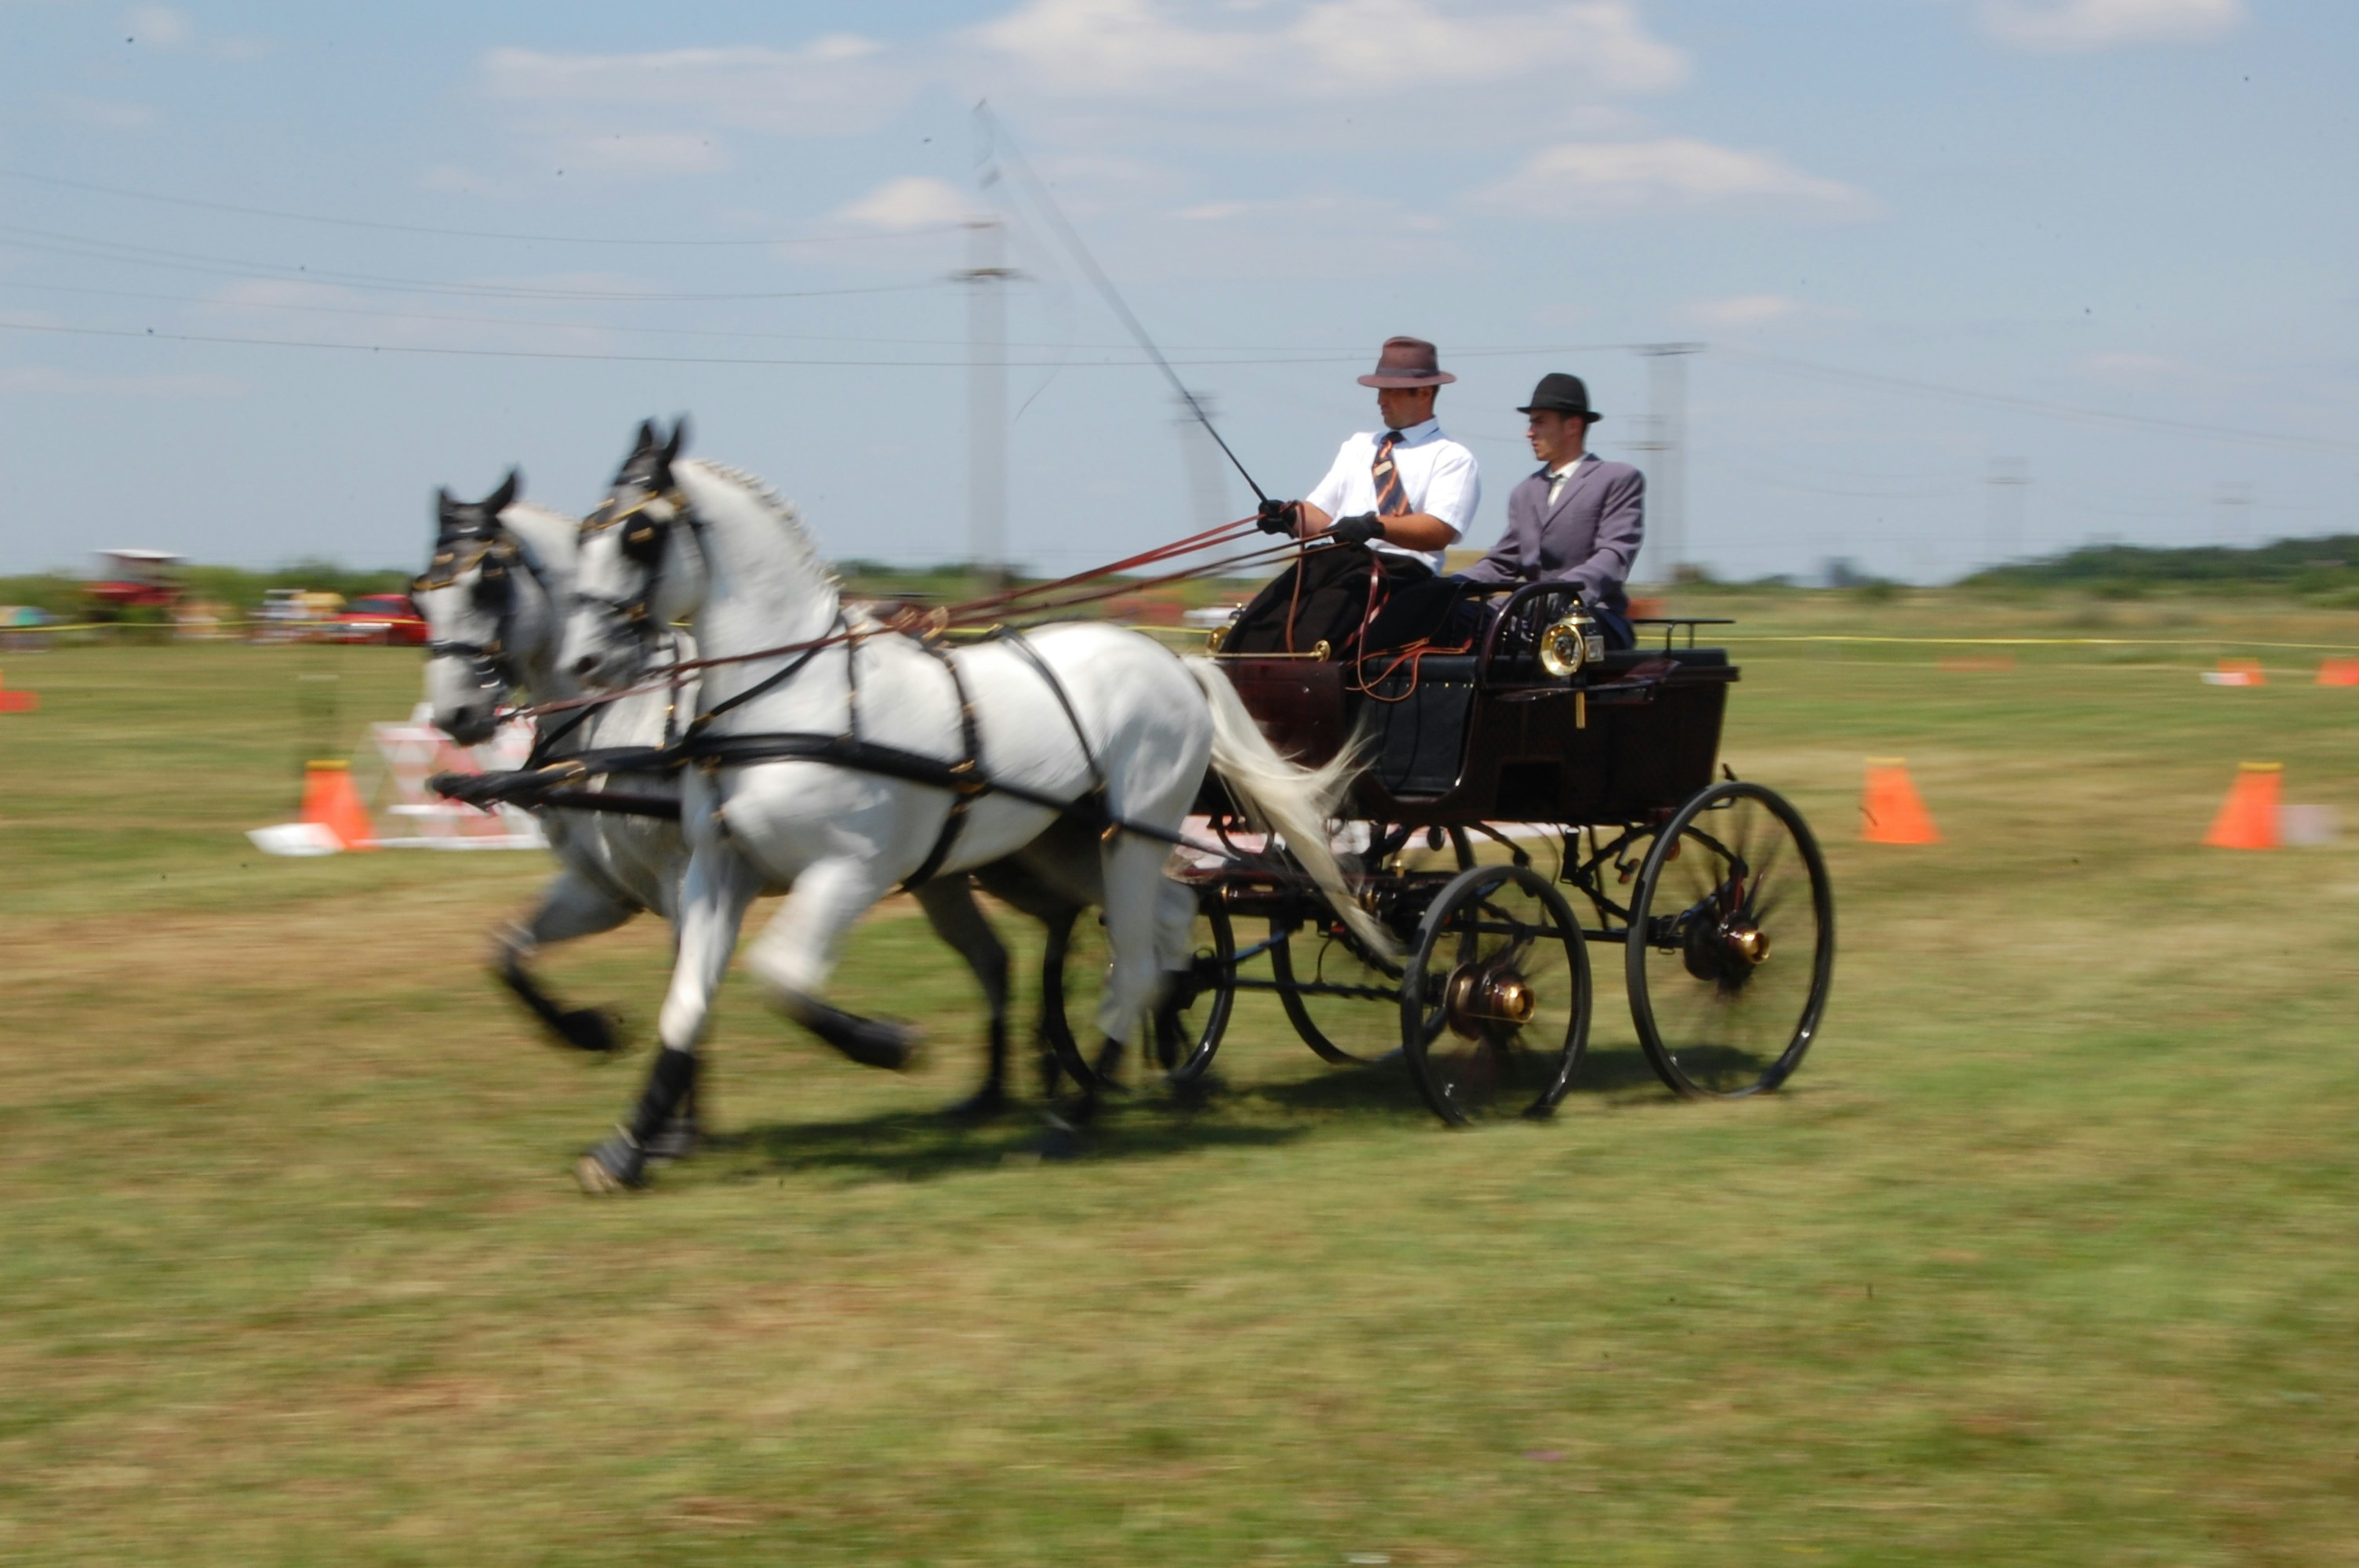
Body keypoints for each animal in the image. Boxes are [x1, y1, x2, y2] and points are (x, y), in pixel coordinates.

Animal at [411, 469, 1087, 1143]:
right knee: (1004, 950)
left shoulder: (678, 874)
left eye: (489, 578)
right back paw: (1007, 1086)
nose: (456, 716)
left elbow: (690, 980)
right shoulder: (606, 889)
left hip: (1006, 858)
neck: (619, 721)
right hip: (950, 872)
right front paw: (591, 1032)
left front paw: (676, 1130)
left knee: (1063, 917)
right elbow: (509, 954)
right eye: (420, 598)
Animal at [556, 419, 1387, 1191]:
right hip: (1075, 844)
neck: (797, 697)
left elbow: (783, 976)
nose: (584, 661)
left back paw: (1075, 1114)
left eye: (639, 532)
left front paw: (888, 1045)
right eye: (588, 527)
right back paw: (1154, 1066)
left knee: (1136, 962)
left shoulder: (851, 871)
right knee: (1171, 926)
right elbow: (687, 1001)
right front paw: (627, 1149)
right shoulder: (717, 867)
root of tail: (1175, 663)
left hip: (1135, 834)